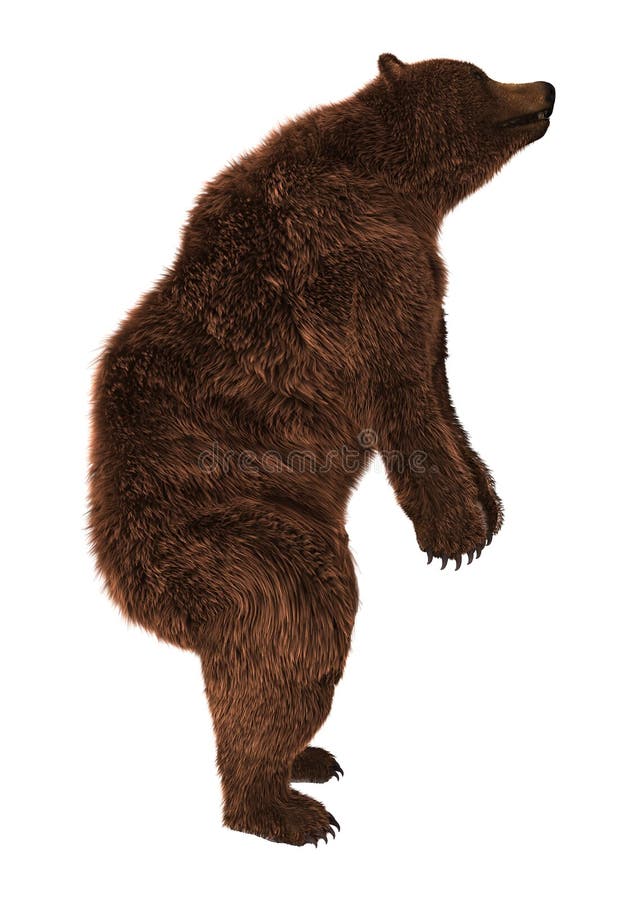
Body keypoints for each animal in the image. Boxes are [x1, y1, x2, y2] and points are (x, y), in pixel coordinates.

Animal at [88, 54, 555, 845]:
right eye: (480, 75)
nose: (547, 89)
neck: (399, 191)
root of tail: (126, 583)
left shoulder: (423, 280)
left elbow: (438, 386)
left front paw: (488, 507)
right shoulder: (358, 278)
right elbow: (404, 404)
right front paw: (455, 531)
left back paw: (305, 762)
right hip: (231, 537)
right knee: (298, 626)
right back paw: (281, 808)